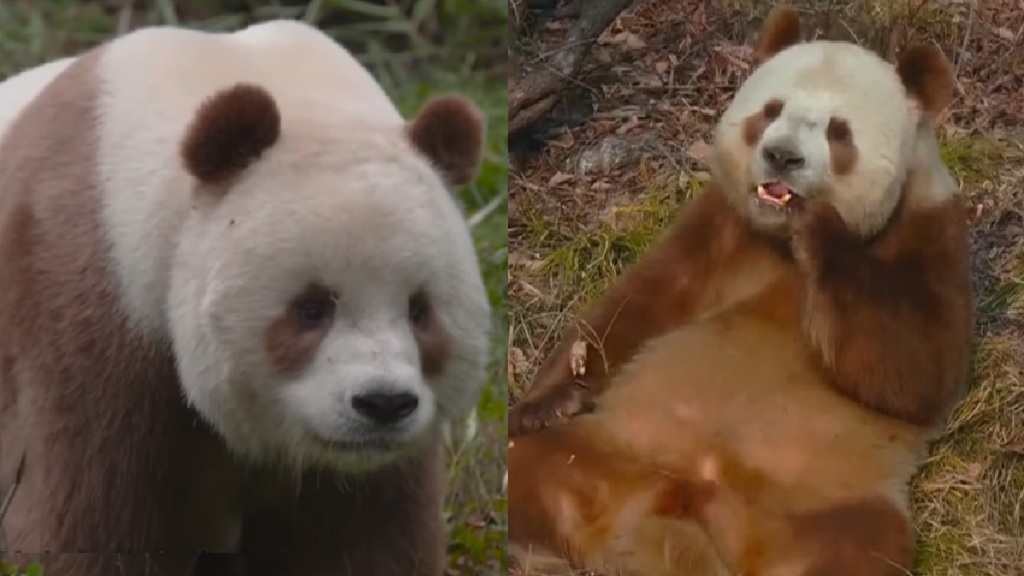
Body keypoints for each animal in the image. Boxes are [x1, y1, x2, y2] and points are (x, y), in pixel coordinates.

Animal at [0, 18, 491, 576]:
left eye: (419, 311)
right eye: (311, 308)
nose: (383, 404)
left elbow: (362, 532)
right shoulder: (91, 291)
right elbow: (94, 513)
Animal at [508, 6, 972, 576]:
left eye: (839, 131)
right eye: (770, 111)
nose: (781, 157)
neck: (779, 238)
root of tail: (679, 502)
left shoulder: (933, 232)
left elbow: (915, 368)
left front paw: (822, 229)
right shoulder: (722, 227)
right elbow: (641, 304)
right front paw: (549, 401)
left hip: (822, 502)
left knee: (852, 550)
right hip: (613, 444)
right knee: (529, 462)